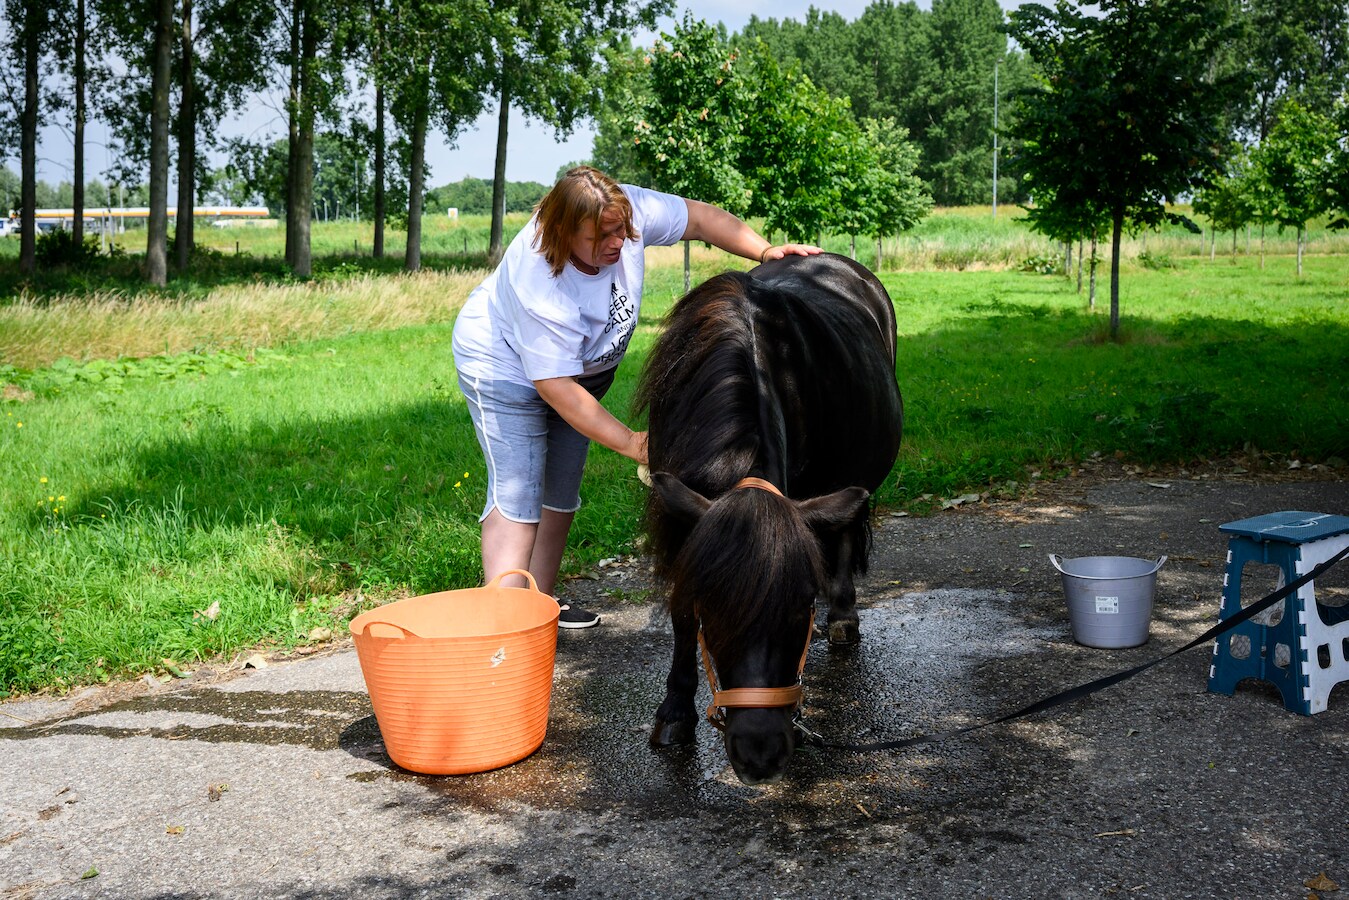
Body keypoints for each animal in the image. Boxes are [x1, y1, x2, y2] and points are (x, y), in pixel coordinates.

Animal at [634, 251, 903, 784]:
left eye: (801, 603)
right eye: (711, 606)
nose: (761, 751)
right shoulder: (681, 524)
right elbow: (680, 616)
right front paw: (674, 713)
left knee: (844, 536)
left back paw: (843, 617)